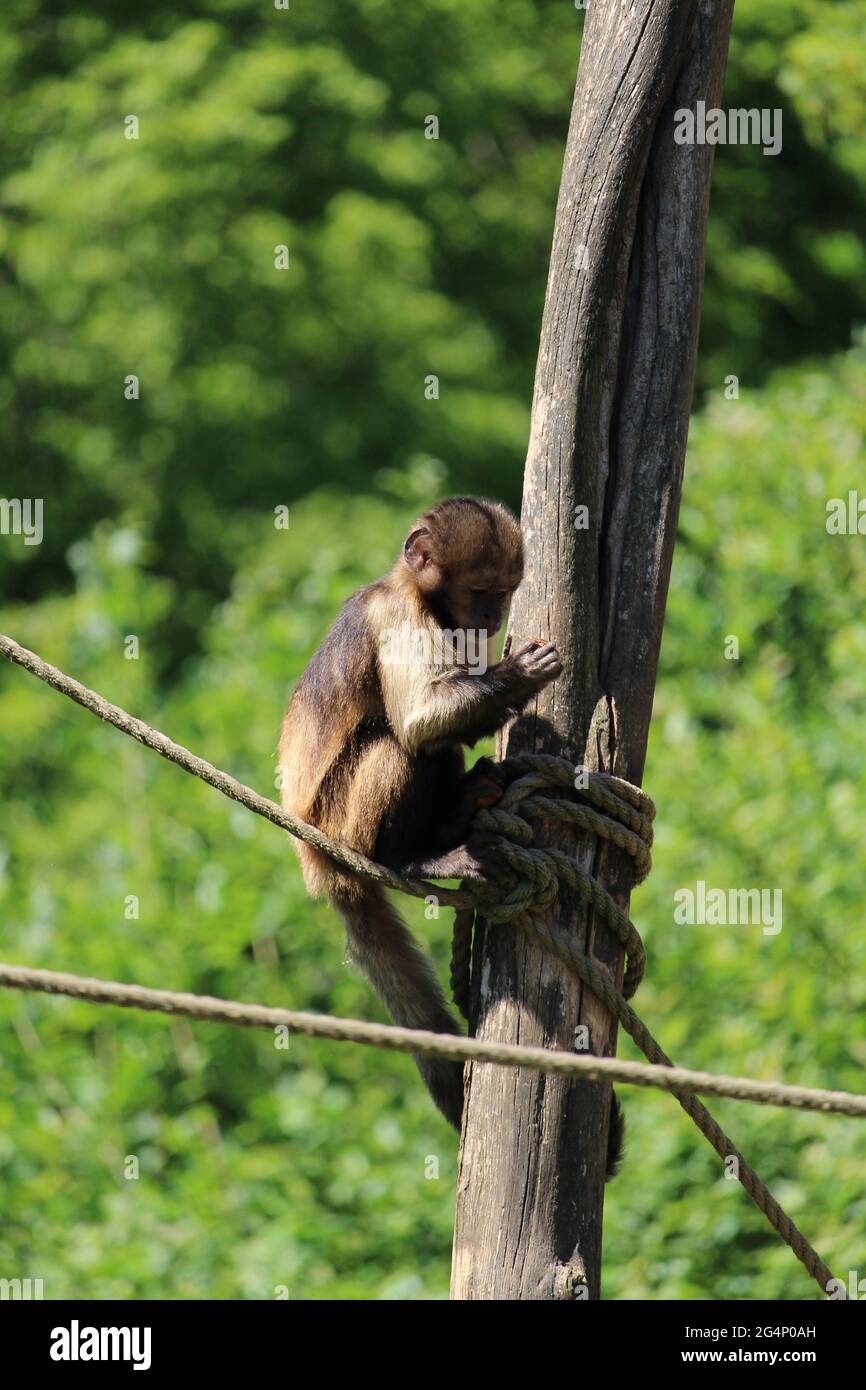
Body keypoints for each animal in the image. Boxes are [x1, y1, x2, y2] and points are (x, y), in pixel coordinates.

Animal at [279, 495, 623, 1177]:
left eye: (505, 594)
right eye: (481, 591)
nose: (491, 617)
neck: (418, 594)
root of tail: (318, 862)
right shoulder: (398, 614)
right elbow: (419, 718)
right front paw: (519, 676)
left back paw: (460, 813)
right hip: (340, 821)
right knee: (399, 742)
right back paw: (412, 857)